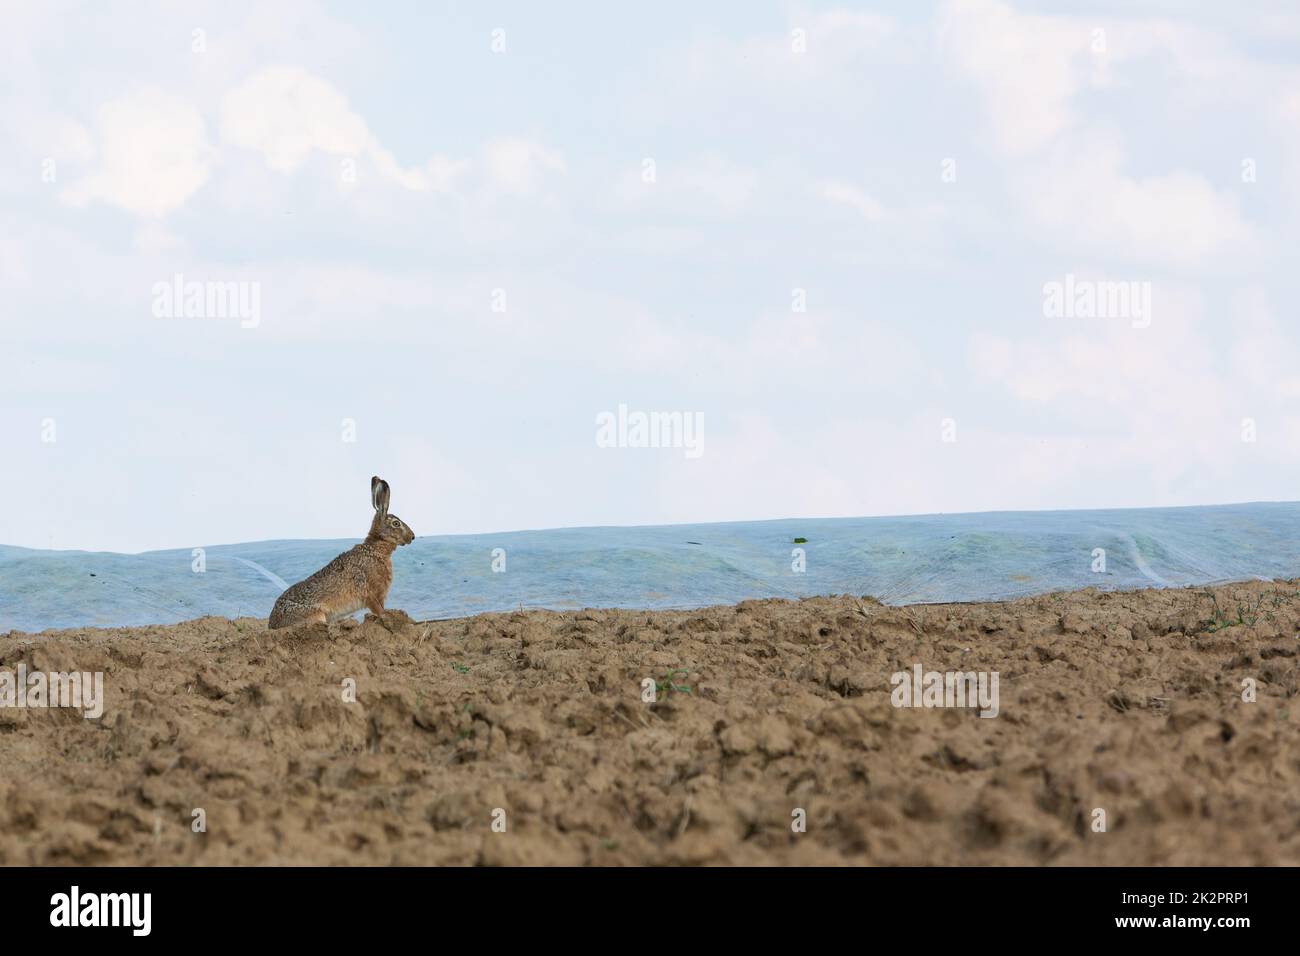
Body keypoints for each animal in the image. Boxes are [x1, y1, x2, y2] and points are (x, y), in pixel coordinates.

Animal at [268, 476, 416, 629]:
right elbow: (379, 610)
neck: (376, 548)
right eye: (396, 523)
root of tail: (272, 624)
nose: (413, 536)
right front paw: (387, 619)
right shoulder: (372, 593)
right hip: (316, 615)